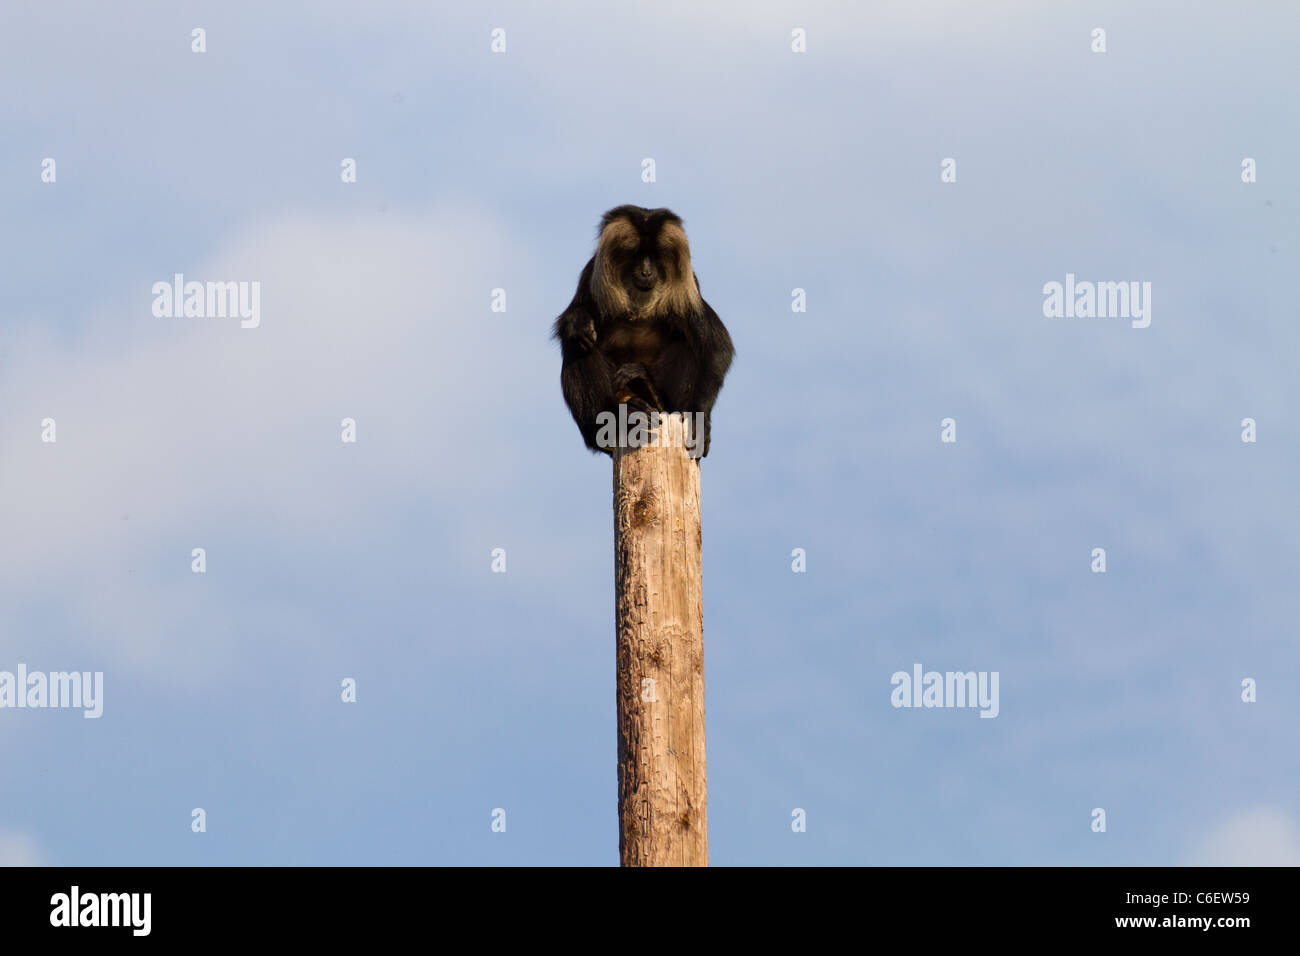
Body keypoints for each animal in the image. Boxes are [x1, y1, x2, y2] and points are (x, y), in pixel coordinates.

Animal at [553, 205, 734, 458]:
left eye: (656, 256)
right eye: (636, 254)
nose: (646, 272)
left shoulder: (689, 289)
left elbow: (717, 348)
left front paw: (700, 421)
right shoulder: (591, 275)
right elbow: (570, 322)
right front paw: (578, 321)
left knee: (686, 346)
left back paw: (650, 390)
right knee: (576, 347)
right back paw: (617, 416)